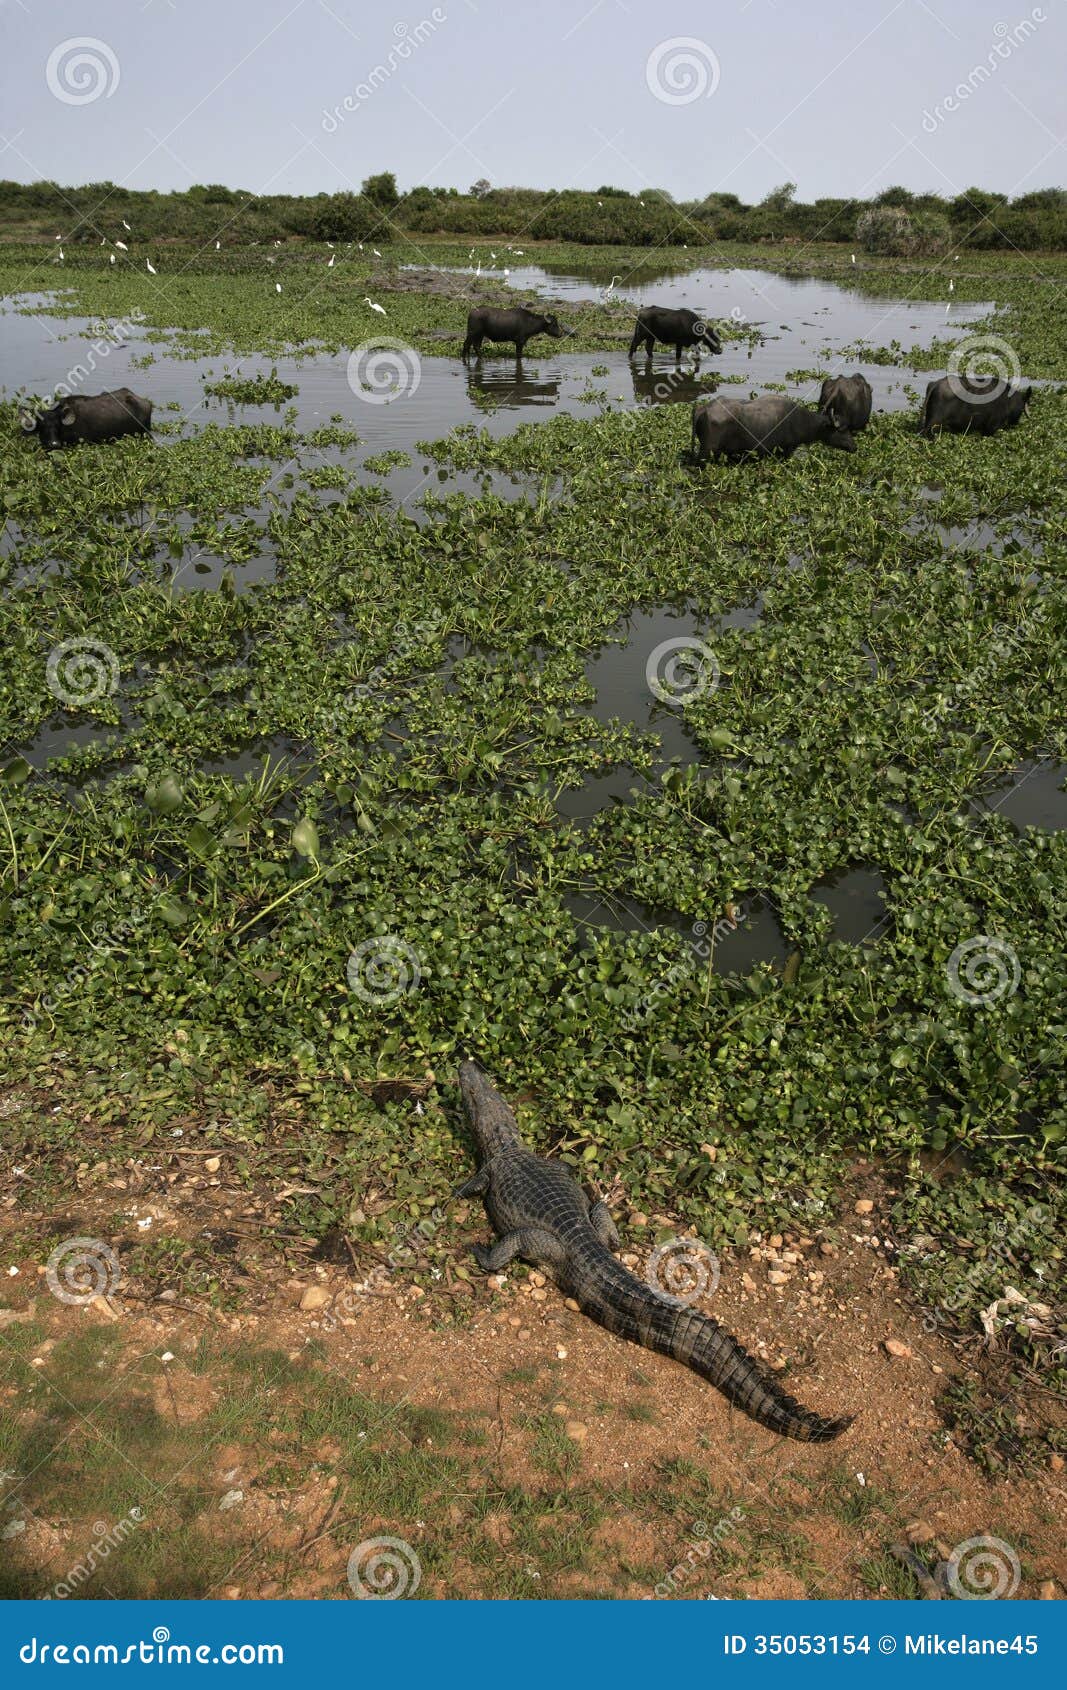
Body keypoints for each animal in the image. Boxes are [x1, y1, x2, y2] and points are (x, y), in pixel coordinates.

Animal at [693, 396, 855, 466]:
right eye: (842, 430)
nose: (854, 447)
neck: (801, 421)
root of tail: (703, 409)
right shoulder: (787, 449)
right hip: (706, 451)